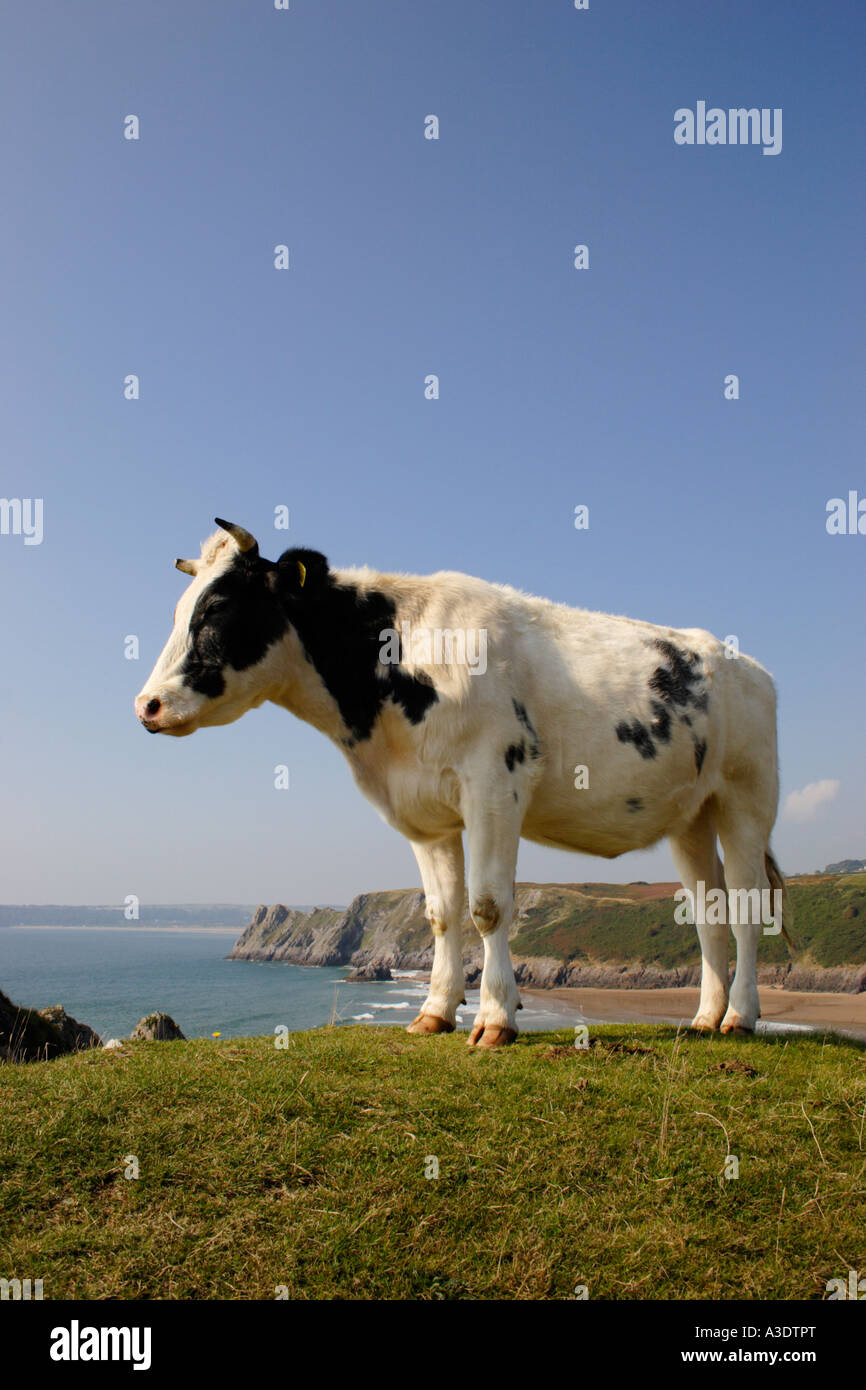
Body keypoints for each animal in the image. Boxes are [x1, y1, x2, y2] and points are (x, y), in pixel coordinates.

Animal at [136, 519, 788, 1047]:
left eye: (218, 609)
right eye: (179, 610)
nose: (147, 705)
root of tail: (744, 663)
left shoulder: (494, 785)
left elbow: (489, 906)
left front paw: (496, 1019)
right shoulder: (424, 812)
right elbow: (441, 914)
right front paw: (434, 1013)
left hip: (747, 798)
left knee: (746, 906)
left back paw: (740, 1018)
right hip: (691, 817)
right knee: (708, 913)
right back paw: (703, 1019)